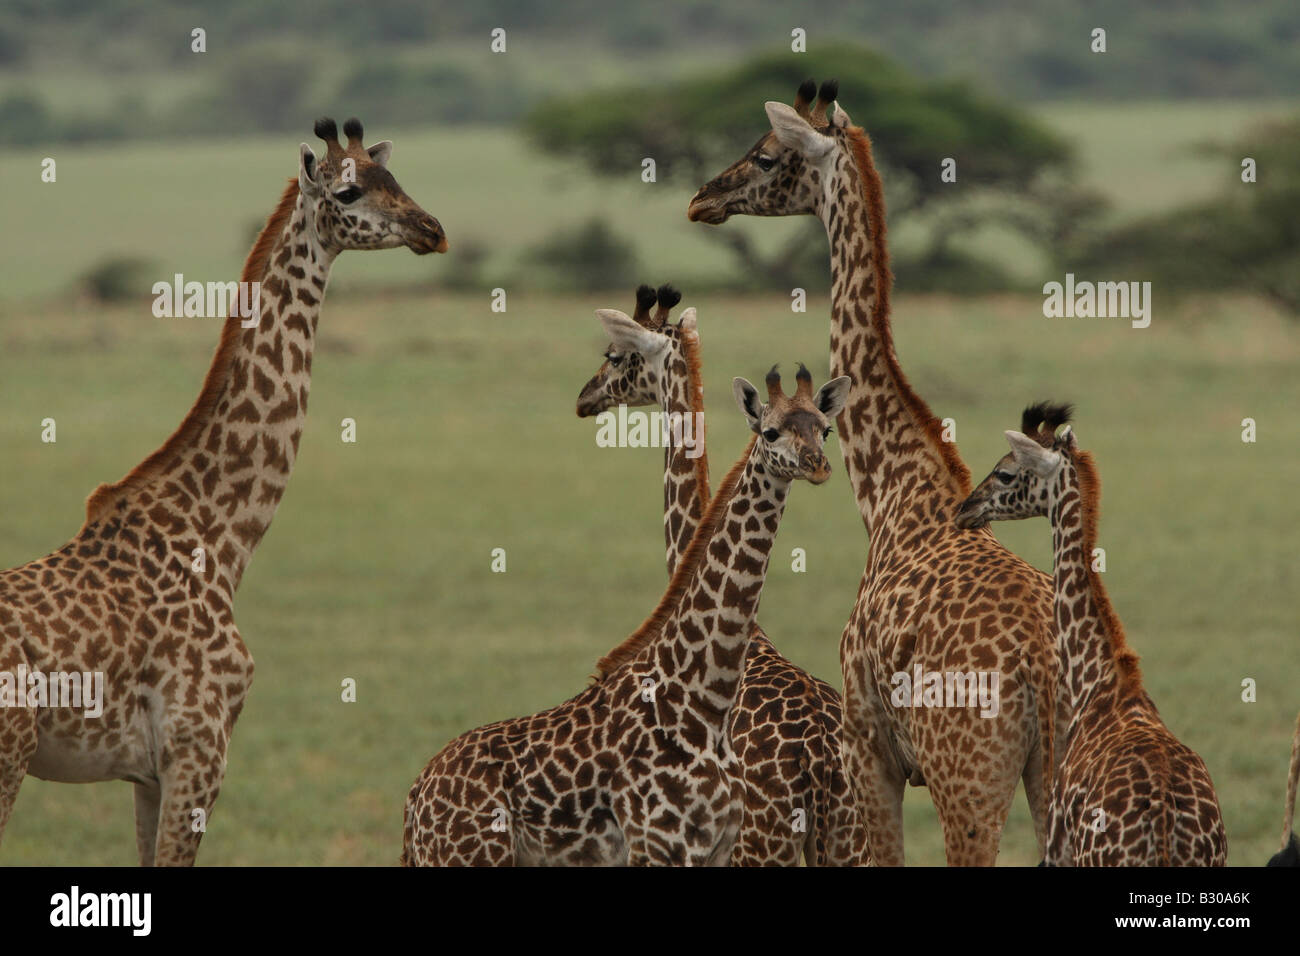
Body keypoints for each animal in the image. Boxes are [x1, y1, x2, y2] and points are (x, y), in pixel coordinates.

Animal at [0, 117, 446, 865]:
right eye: (350, 191)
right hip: (10, 755)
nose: (432, 229)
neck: (221, 534)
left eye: (397, 179)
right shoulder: (199, 748)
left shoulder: (148, 772)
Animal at [402, 366, 851, 865]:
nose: (817, 465)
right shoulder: (659, 846)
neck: (702, 700)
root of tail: (417, 795)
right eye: (769, 431)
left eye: (824, 429)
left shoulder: (715, 845)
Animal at [688, 79, 1062, 865]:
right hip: (1057, 768)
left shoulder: (870, 746)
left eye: (765, 153)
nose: (702, 198)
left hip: (967, 778)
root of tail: (1042, 662)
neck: (891, 493)